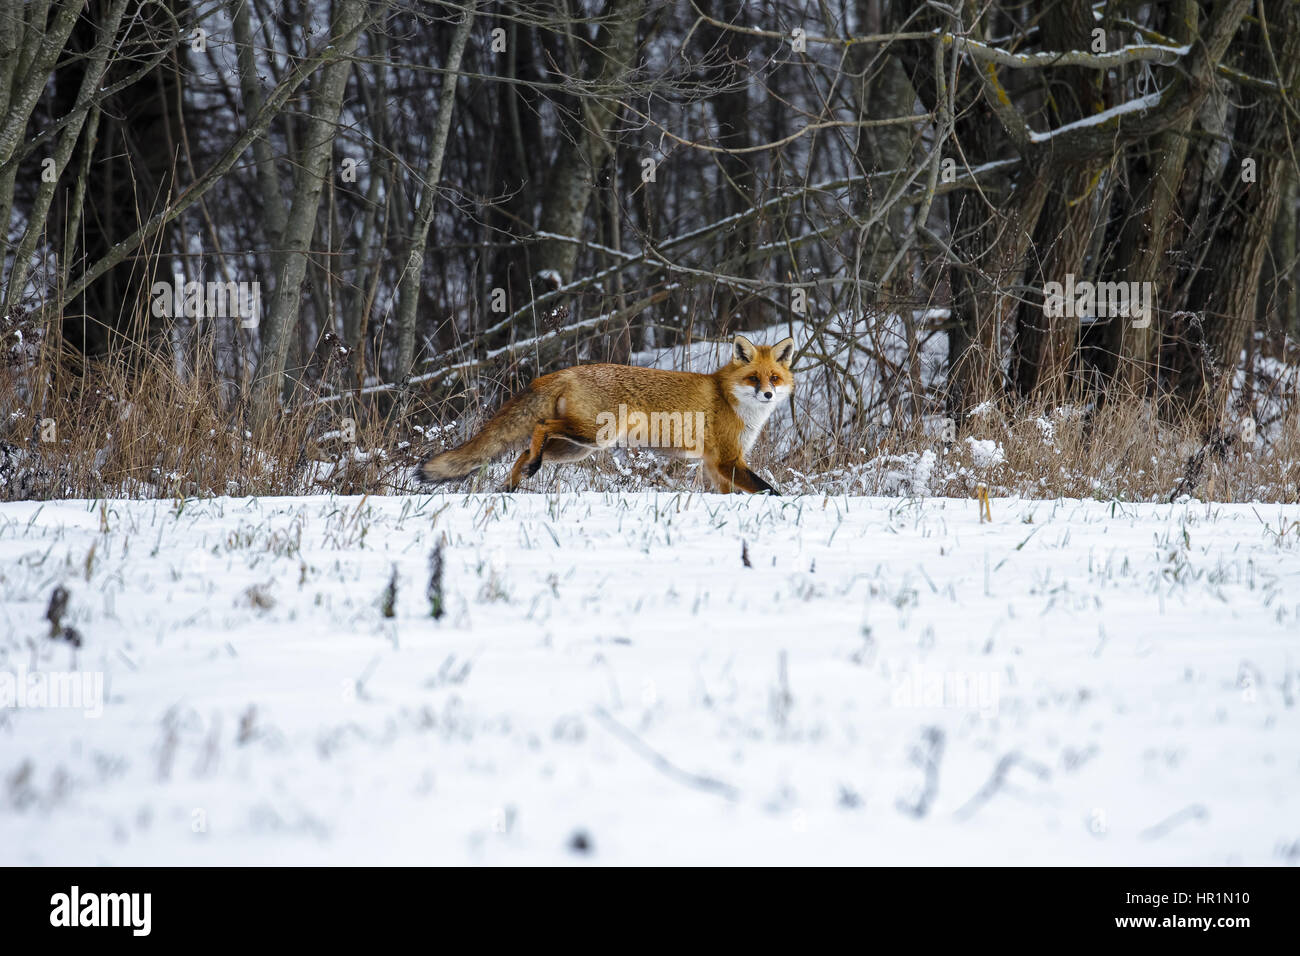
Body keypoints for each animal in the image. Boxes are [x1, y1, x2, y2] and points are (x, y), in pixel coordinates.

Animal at [416, 334, 796, 494]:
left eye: (774, 378)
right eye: (754, 378)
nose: (767, 394)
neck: (729, 398)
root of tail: (566, 371)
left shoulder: (716, 466)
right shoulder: (727, 460)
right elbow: (770, 492)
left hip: (576, 448)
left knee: (524, 450)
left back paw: (512, 483)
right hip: (592, 435)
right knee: (541, 425)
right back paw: (523, 473)